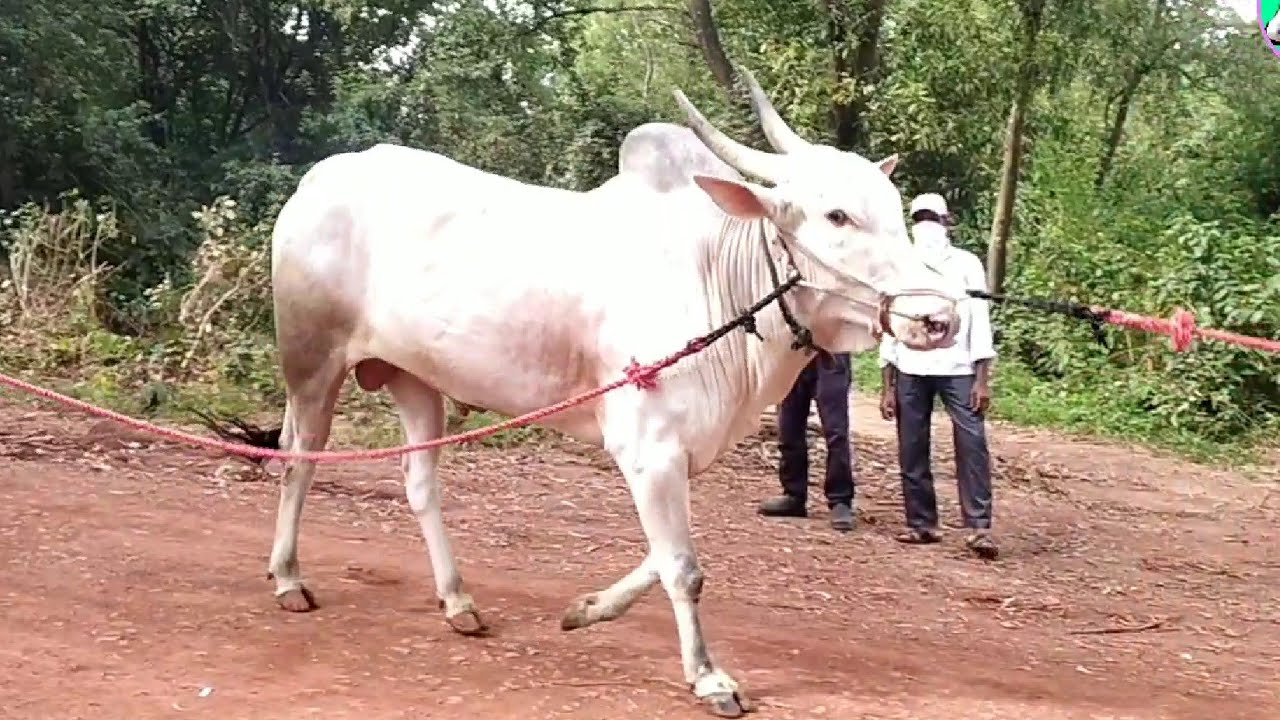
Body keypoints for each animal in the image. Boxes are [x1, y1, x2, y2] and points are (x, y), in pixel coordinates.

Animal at [259, 70, 964, 717]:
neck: (720, 282)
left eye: (896, 213)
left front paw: (586, 609)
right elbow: (683, 566)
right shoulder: (648, 449)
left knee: (419, 483)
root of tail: (318, 181)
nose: (940, 319)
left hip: (415, 380)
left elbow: (664, 555)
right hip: (312, 363)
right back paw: (289, 577)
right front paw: (708, 677)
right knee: (298, 460)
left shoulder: (682, 454)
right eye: (837, 215)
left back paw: (457, 600)